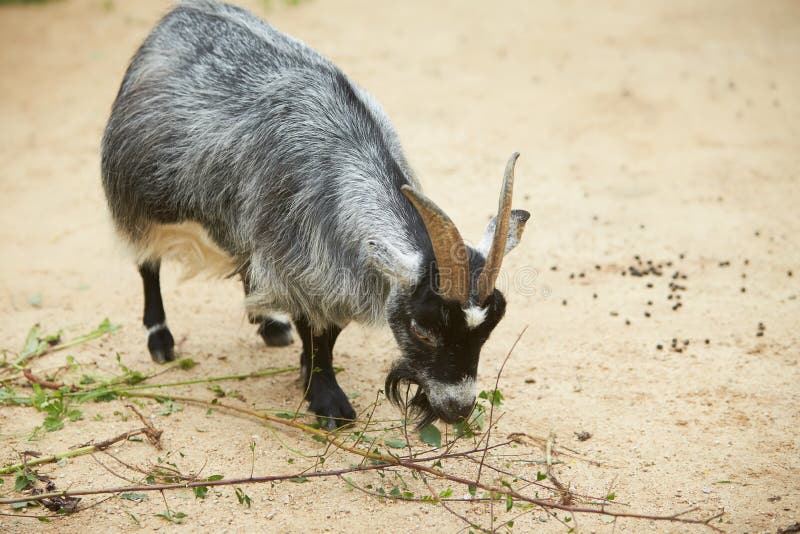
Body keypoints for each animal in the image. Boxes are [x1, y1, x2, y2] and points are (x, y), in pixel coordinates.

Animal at [101, 0, 530, 429]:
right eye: (423, 329)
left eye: (488, 330)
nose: (457, 409)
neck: (343, 158)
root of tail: (177, 15)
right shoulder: (299, 258)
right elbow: (314, 327)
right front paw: (327, 400)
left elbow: (331, 329)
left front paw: (309, 372)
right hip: (139, 197)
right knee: (147, 262)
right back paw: (160, 338)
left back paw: (269, 324)